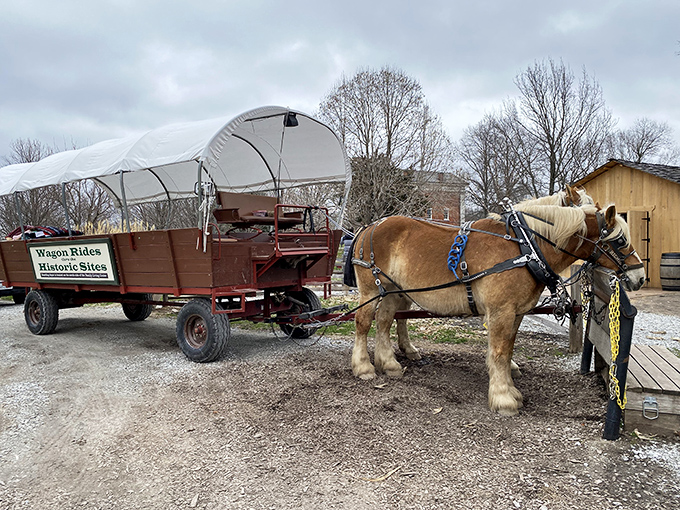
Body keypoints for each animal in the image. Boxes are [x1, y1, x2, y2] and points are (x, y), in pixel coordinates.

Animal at [348, 202, 645, 416]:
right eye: (620, 241)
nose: (640, 276)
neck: (525, 249)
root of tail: (369, 227)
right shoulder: (501, 311)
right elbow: (500, 353)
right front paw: (503, 398)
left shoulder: (516, 313)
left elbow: (508, 351)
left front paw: (510, 390)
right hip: (372, 289)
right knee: (363, 322)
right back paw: (364, 367)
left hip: (392, 291)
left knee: (385, 321)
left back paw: (389, 363)